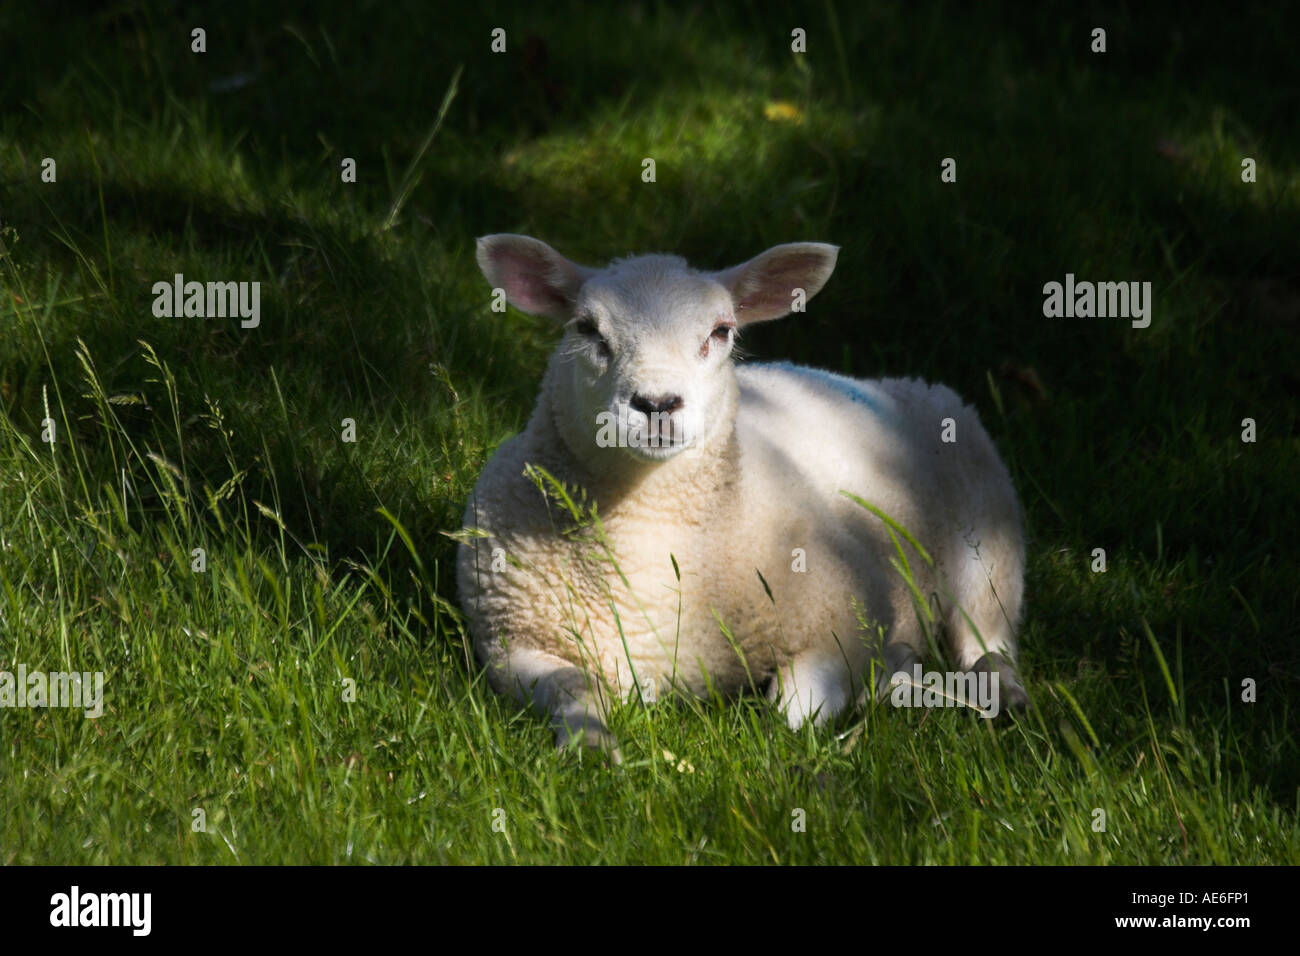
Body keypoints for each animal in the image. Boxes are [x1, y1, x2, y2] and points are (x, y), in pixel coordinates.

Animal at [458, 234, 1027, 759]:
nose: (657, 403)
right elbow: (576, 690)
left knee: (987, 640)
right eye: (587, 329)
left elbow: (790, 716)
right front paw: (592, 745)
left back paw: (1000, 692)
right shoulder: (512, 642)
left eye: (720, 331)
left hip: (988, 540)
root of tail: (881, 383)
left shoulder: (840, 622)